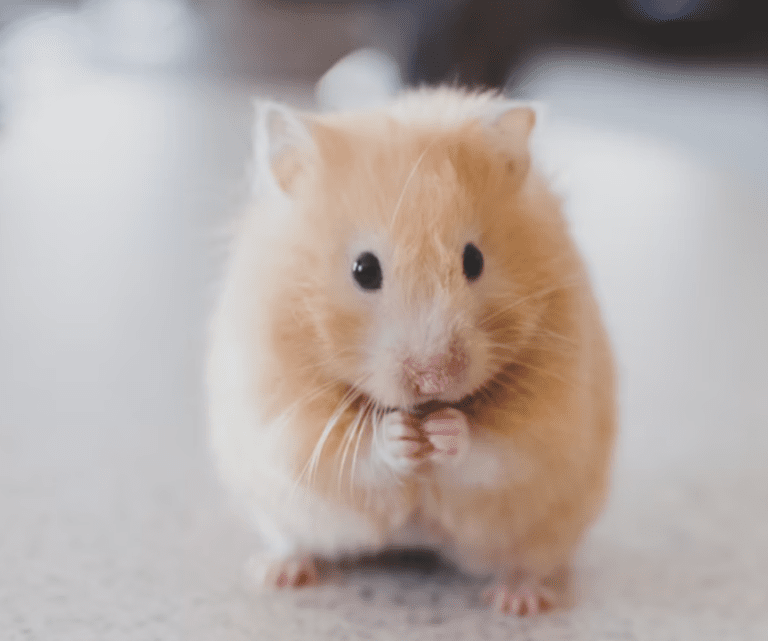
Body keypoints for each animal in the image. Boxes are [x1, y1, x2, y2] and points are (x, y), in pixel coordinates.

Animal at [206, 87, 616, 615]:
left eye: (473, 260)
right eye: (364, 269)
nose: (434, 378)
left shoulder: (549, 423)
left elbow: (495, 449)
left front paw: (444, 431)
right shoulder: (284, 417)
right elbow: (353, 452)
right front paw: (401, 436)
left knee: (529, 561)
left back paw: (518, 601)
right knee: (292, 540)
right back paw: (278, 573)